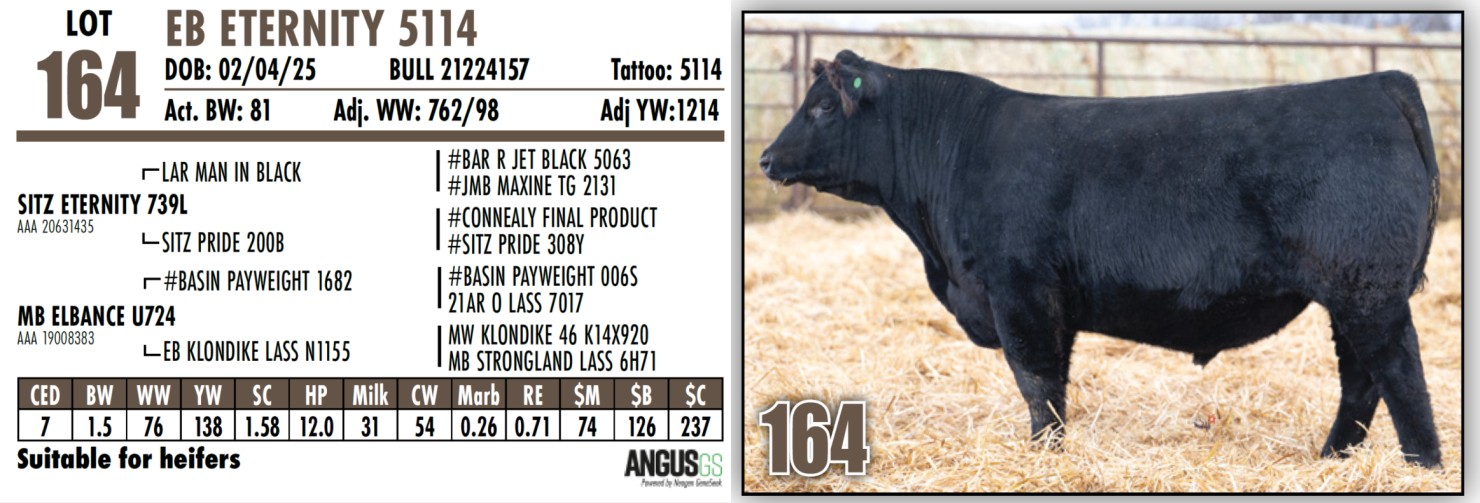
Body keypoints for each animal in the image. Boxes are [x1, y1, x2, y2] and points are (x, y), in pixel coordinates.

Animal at [759, 50, 1442, 467]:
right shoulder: (1049, 301)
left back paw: (1421, 465)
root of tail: (1382, 83)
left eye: (823, 106)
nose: (765, 158)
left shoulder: (1020, 290)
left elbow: (1035, 379)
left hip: (1367, 289)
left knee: (1397, 373)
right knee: (1361, 381)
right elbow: (1052, 381)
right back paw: (1332, 460)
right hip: (1352, 294)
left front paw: (1044, 456)